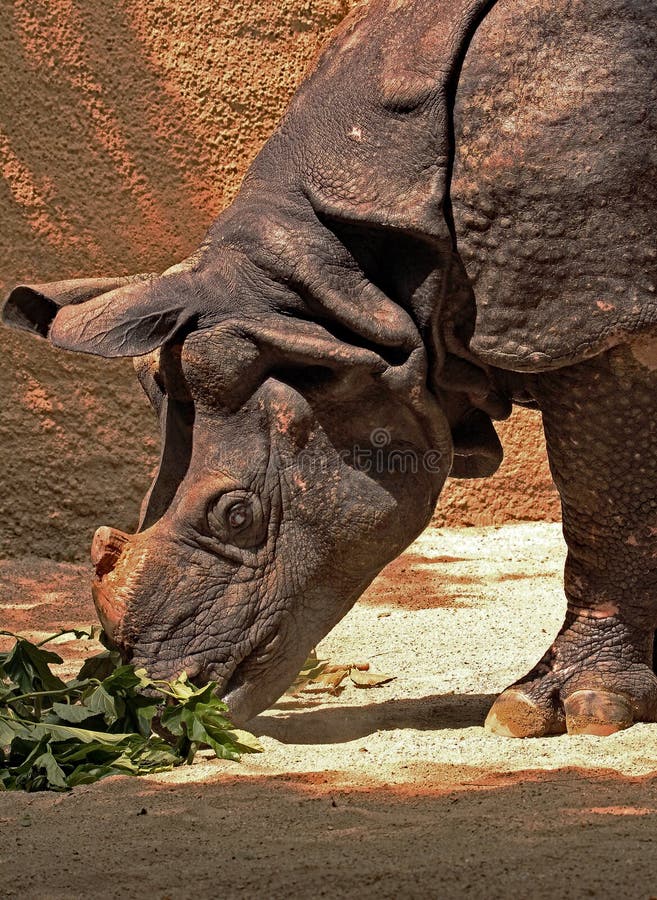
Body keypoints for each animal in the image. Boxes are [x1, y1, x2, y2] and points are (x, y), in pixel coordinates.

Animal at [4, 0, 657, 737]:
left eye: (237, 517)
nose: (159, 694)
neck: (348, 299)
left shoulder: (599, 316)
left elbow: (604, 507)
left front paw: (569, 709)